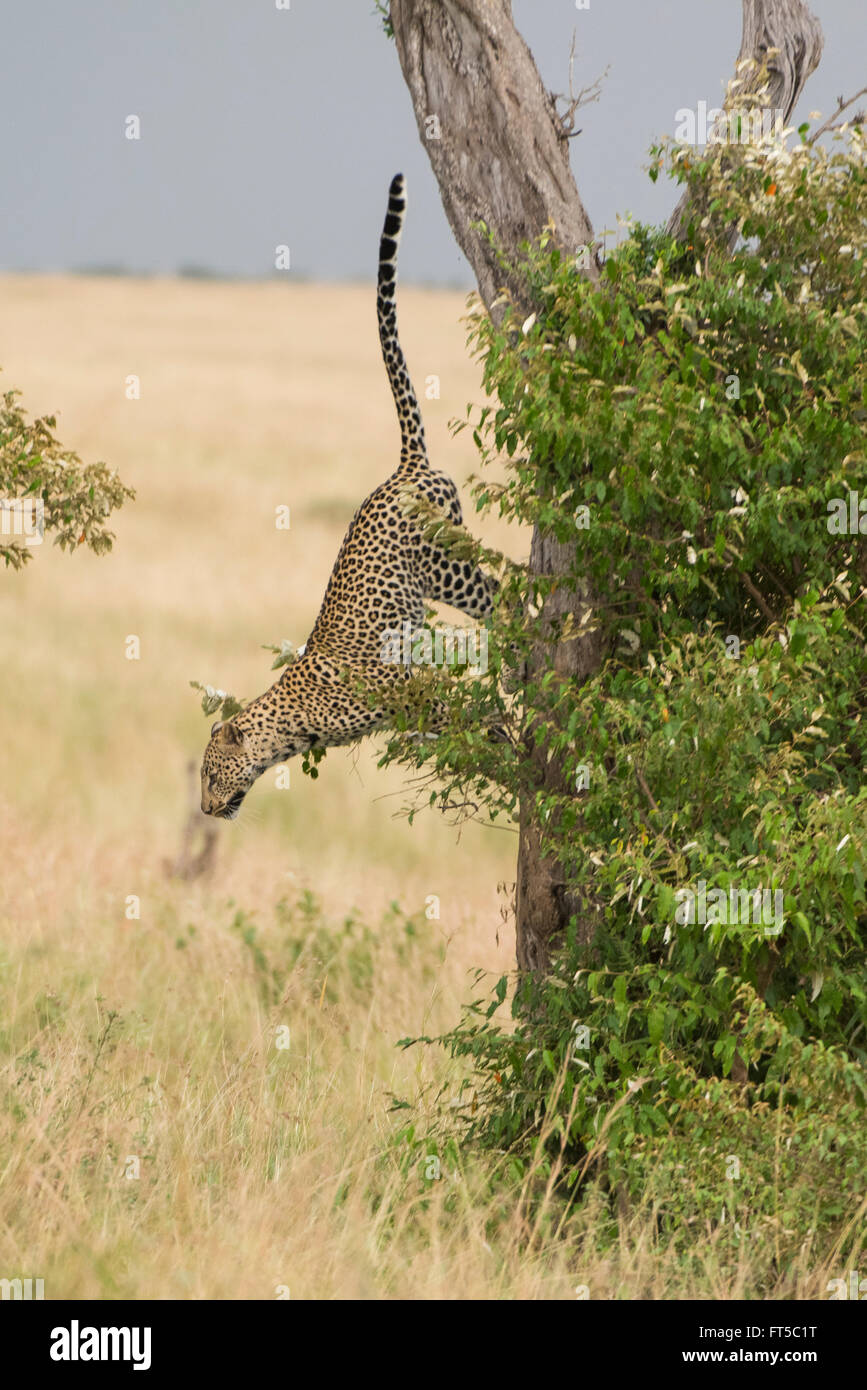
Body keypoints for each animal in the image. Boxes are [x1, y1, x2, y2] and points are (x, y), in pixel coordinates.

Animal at [200, 173, 497, 819]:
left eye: (209, 774)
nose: (205, 809)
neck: (288, 729)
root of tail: (405, 467)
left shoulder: (406, 686)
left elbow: (460, 714)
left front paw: (499, 735)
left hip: (448, 566)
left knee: (503, 591)